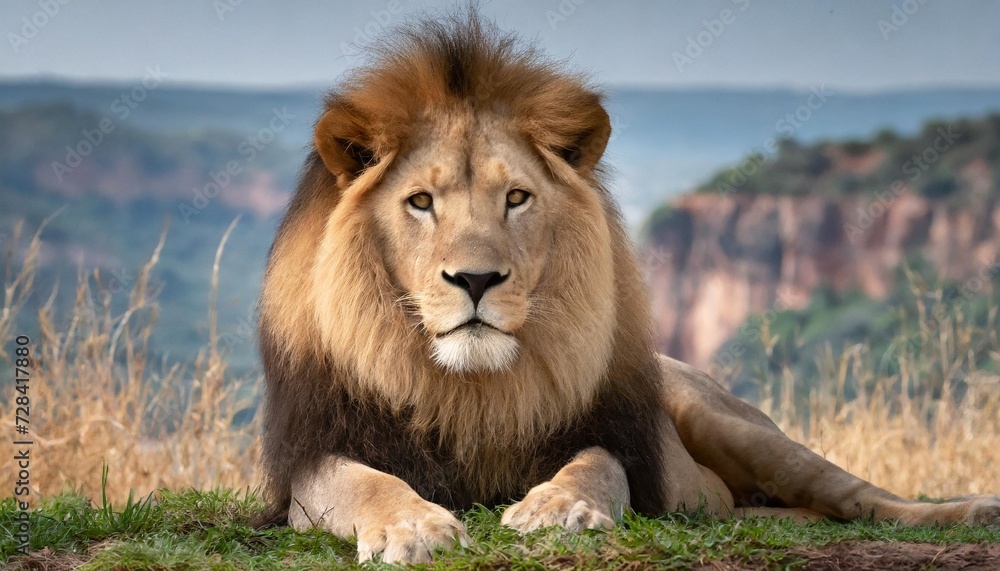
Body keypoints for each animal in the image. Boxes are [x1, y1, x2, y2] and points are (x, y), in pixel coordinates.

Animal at [254, 12, 1000, 565]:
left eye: (516, 198)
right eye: (420, 201)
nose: (476, 278)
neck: (472, 390)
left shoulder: (615, 437)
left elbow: (594, 466)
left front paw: (557, 508)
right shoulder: (311, 456)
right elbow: (367, 482)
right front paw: (415, 526)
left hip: (733, 424)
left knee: (854, 495)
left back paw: (968, 510)